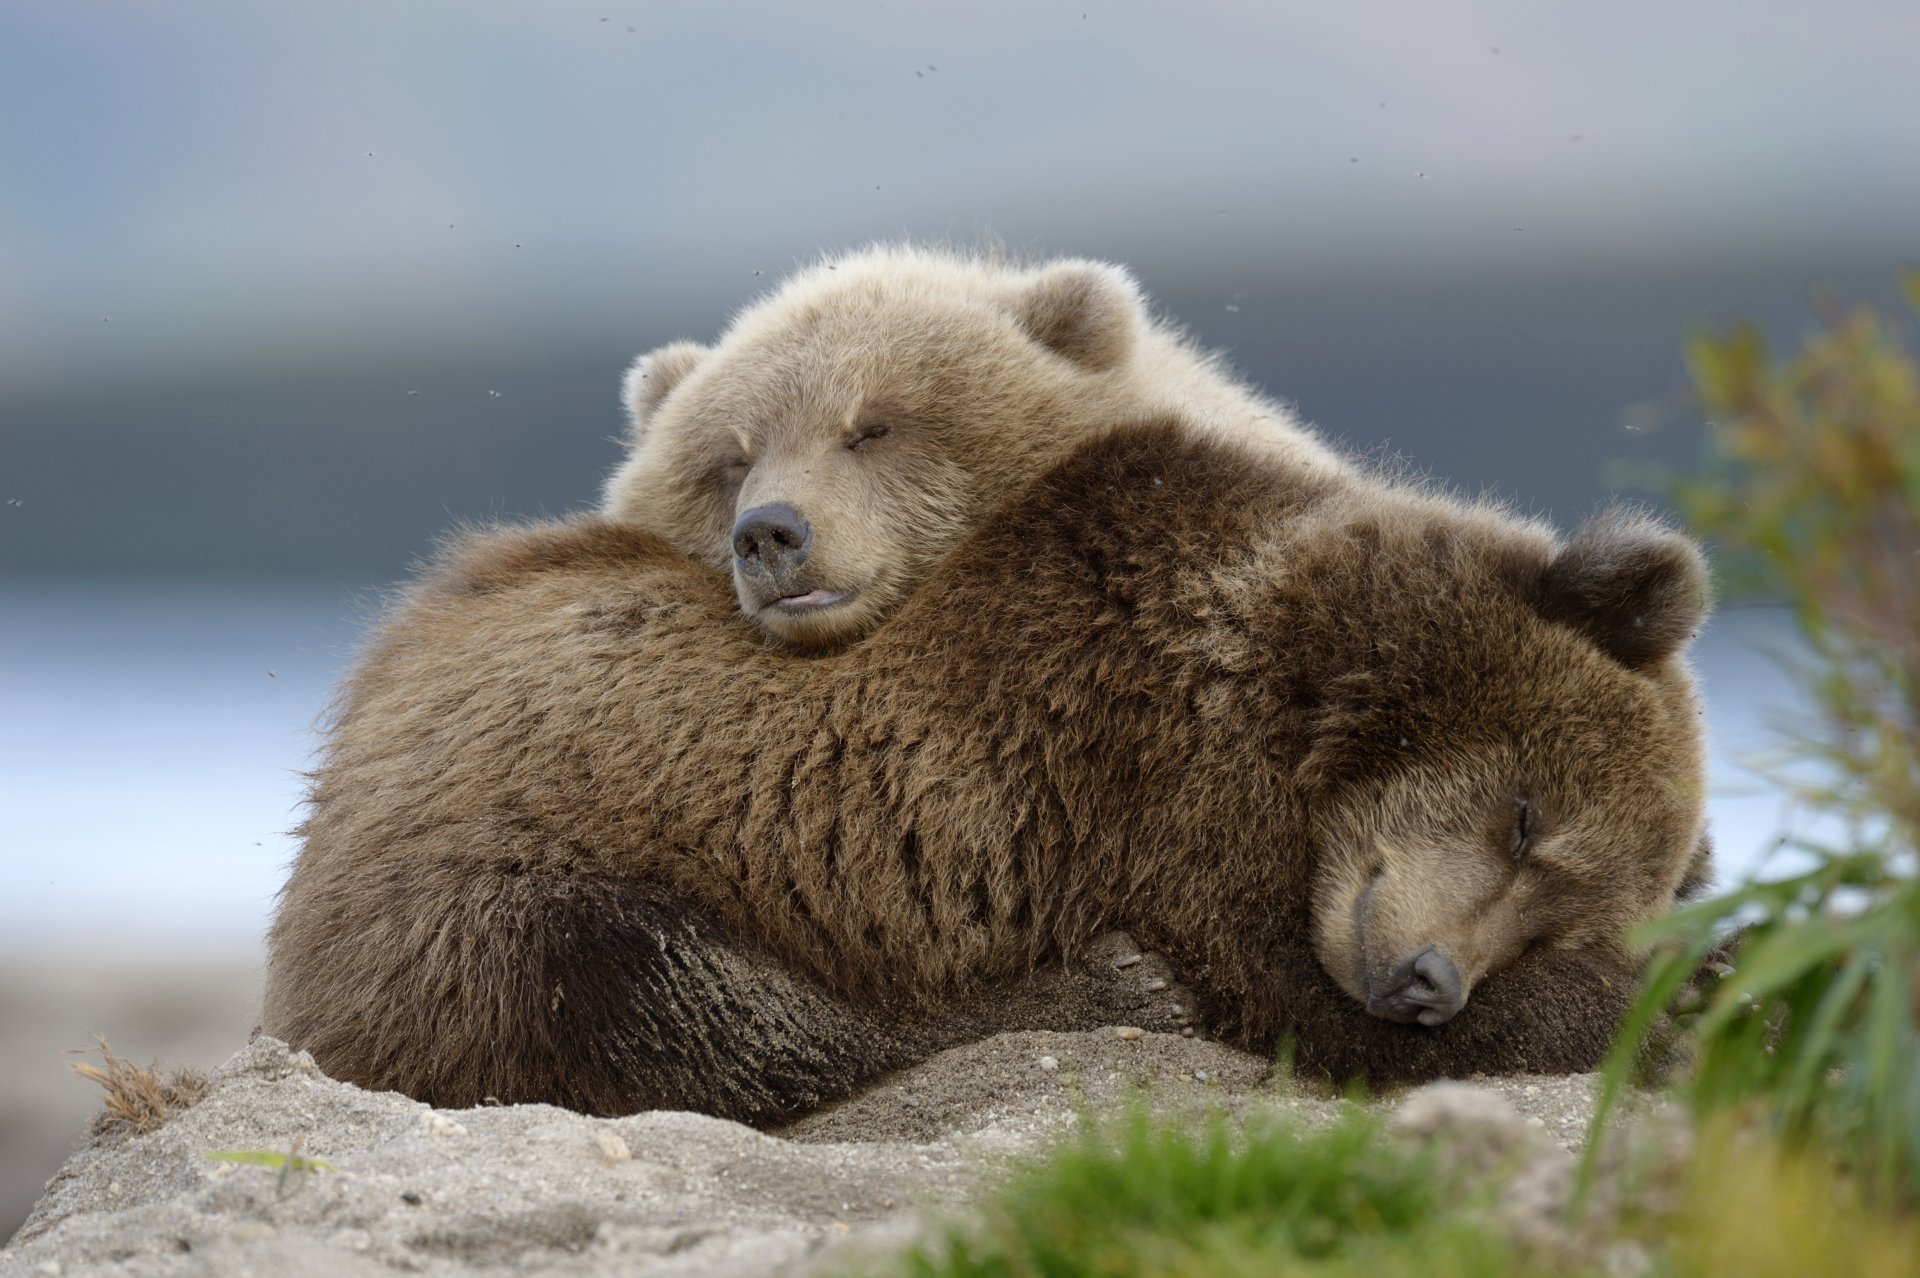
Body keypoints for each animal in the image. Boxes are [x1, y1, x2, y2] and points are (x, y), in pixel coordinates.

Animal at [261, 417, 1714, 1123]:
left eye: (1555, 908)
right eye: (1528, 817)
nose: (1427, 980)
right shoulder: (1157, 773)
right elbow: (1287, 990)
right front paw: (1684, 1000)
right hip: (474, 878)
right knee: (648, 987)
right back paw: (1080, 988)